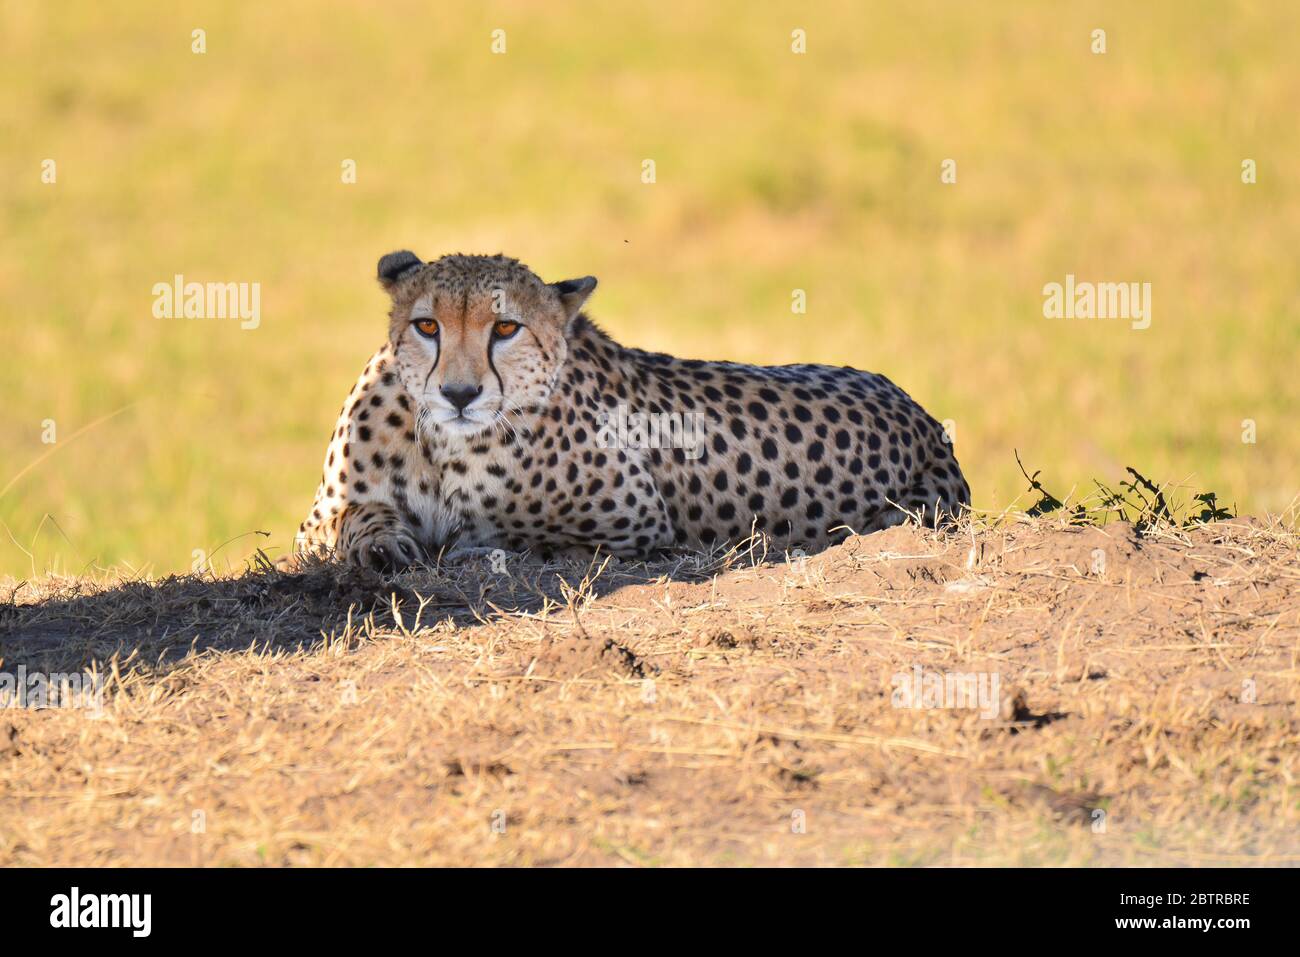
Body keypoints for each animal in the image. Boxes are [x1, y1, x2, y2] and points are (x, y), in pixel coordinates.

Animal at [294, 251, 969, 569]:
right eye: (427, 325)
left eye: (506, 327)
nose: (459, 394)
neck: (443, 446)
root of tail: (922, 417)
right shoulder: (317, 519)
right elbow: (354, 517)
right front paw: (384, 544)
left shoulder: (636, 524)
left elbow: (529, 538)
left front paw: (470, 545)